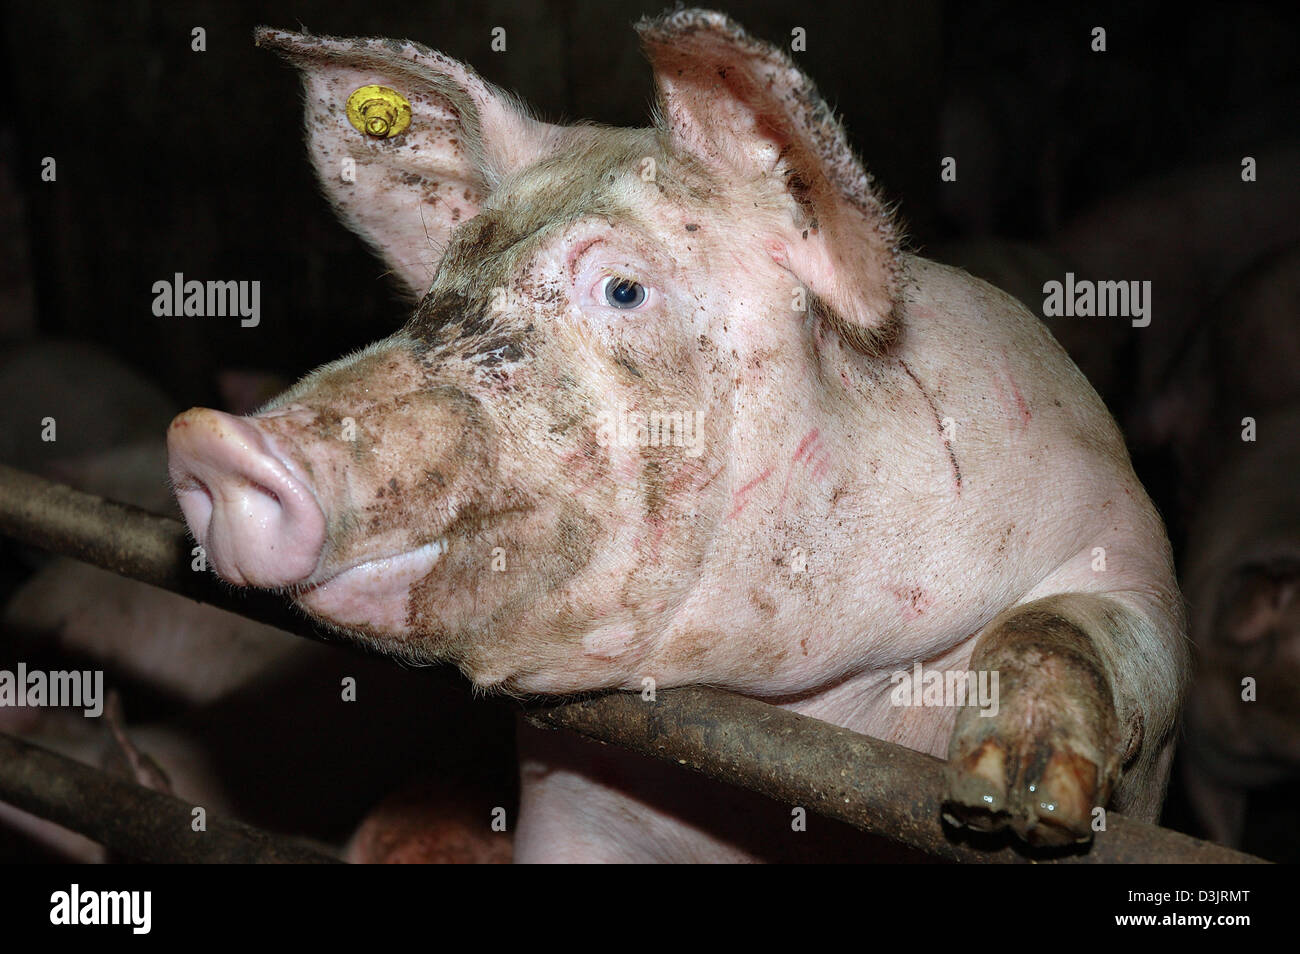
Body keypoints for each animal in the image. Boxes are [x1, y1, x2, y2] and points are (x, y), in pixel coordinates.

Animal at [166, 9, 1187, 860]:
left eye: (623, 289)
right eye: (449, 273)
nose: (212, 440)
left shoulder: (1126, 544)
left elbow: (1073, 626)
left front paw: (1007, 803)